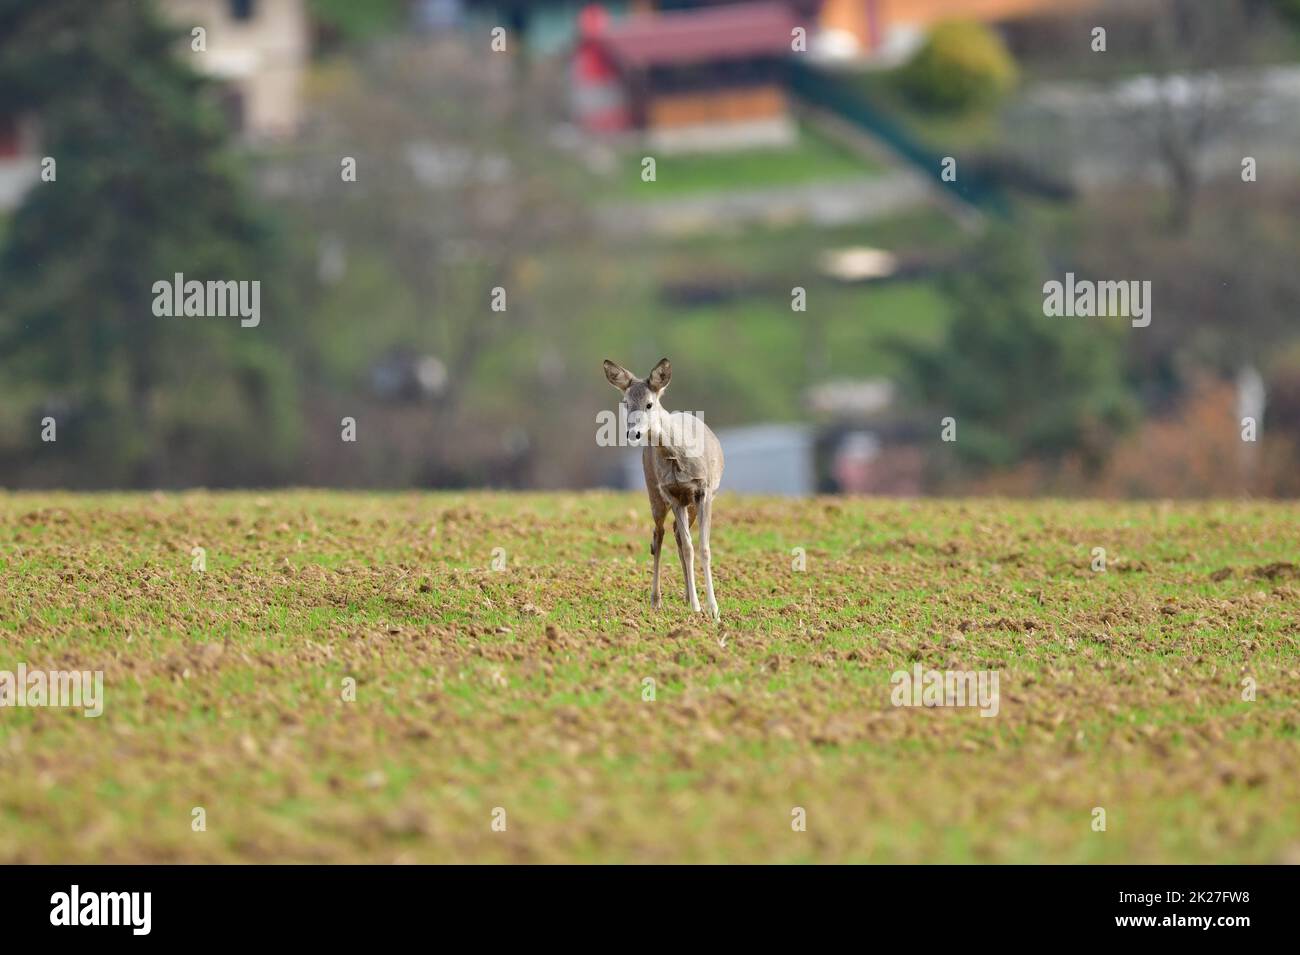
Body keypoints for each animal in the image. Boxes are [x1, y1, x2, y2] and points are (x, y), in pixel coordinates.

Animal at [603, 358, 724, 621]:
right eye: (625, 403)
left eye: (649, 404)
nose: (633, 433)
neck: (679, 455)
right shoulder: (673, 493)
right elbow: (689, 548)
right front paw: (698, 607)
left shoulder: (703, 492)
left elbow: (703, 547)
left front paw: (713, 609)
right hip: (653, 492)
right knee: (658, 535)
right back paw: (656, 599)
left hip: (689, 504)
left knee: (676, 535)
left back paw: (687, 595)